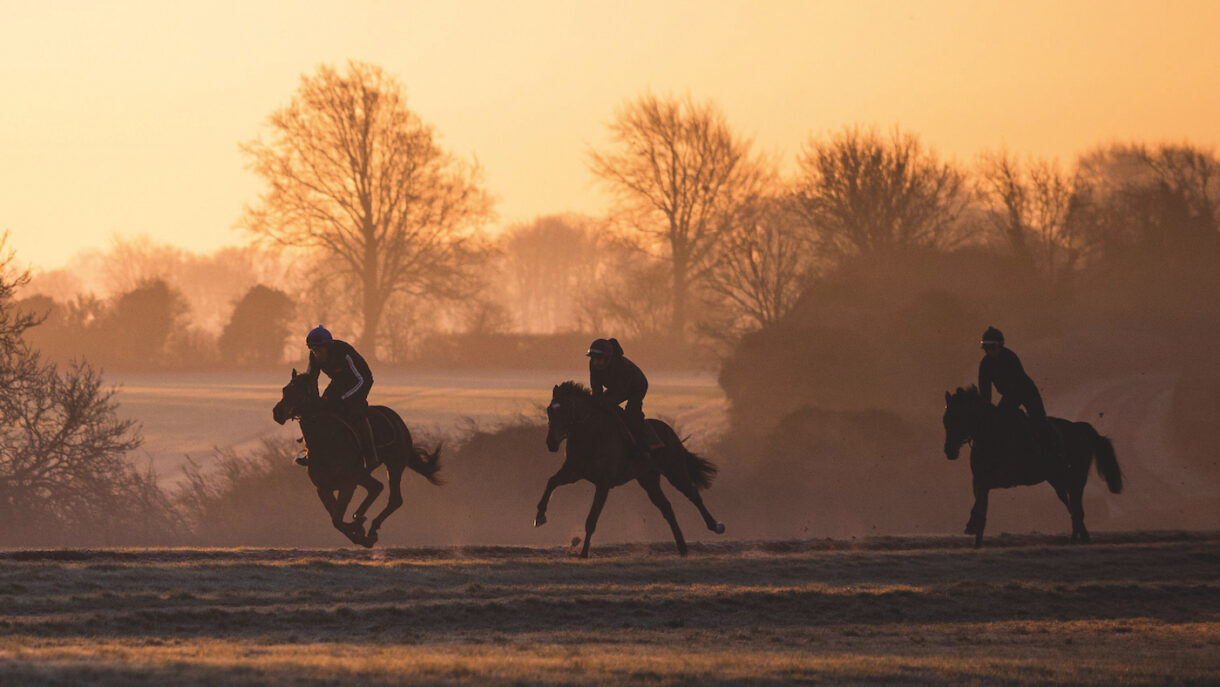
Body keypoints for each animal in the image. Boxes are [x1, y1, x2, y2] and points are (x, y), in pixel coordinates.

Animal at [272, 369, 441, 547]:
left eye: (301, 393)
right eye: (285, 390)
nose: (277, 412)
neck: (325, 440)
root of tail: (397, 419)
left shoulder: (347, 484)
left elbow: (337, 519)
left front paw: (359, 530)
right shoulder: (323, 488)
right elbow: (336, 519)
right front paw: (358, 531)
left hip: (393, 465)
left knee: (393, 497)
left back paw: (370, 528)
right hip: (363, 475)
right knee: (377, 488)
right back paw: (363, 523)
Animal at [536, 381, 726, 558]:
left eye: (564, 411)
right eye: (549, 410)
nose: (551, 443)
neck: (591, 434)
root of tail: (671, 432)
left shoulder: (603, 484)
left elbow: (591, 519)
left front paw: (583, 553)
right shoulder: (573, 472)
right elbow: (551, 482)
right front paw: (539, 516)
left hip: (675, 470)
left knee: (693, 495)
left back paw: (715, 526)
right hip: (648, 479)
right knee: (666, 507)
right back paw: (682, 548)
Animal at [942, 385, 1123, 547]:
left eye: (958, 418)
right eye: (945, 420)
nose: (949, 451)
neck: (990, 434)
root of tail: (1081, 427)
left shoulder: (994, 479)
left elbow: (980, 508)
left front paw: (974, 531)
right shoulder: (979, 480)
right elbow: (980, 508)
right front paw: (974, 534)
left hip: (1076, 479)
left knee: (1077, 510)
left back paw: (1079, 540)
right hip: (1058, 481)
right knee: (1073, 508)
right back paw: (1078, 539)